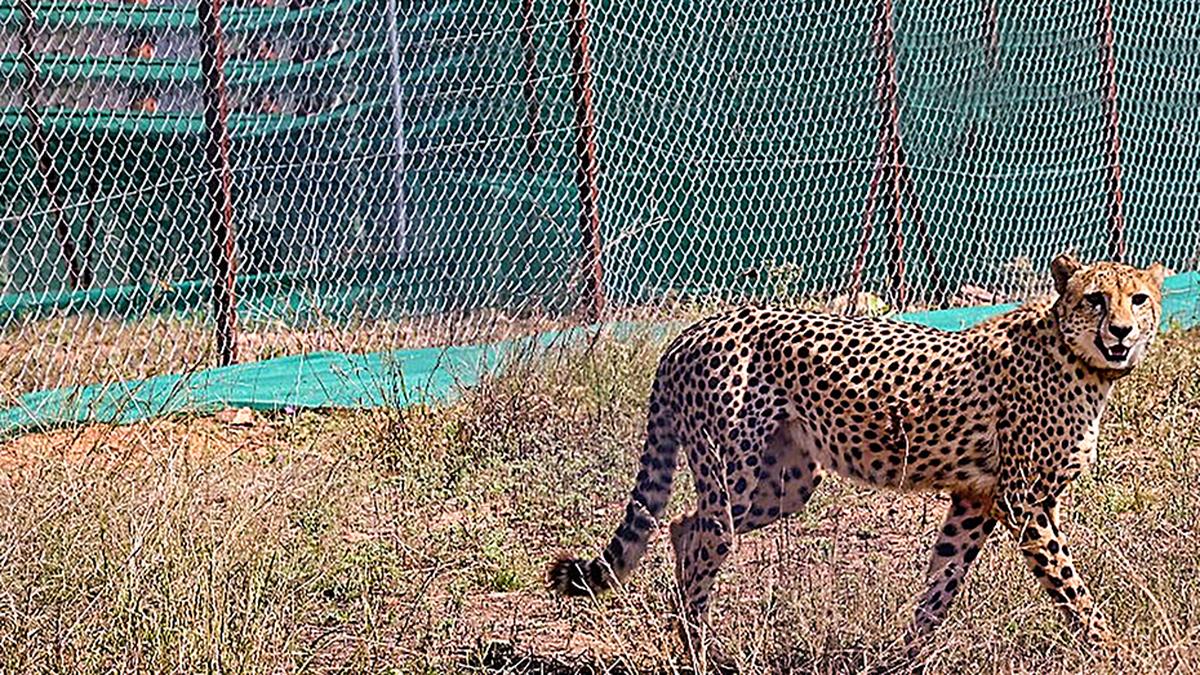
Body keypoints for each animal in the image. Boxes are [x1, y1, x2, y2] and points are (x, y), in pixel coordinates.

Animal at [548, 254, 1166, 659]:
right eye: (1095, 299)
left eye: (1138, 299)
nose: (1121, 331)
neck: (1077, 356)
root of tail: (691, 331)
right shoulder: (1024, 503)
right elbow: (1071, 587)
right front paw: (1113, 650)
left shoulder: (976, 500)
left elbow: (941, 584)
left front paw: (907, 656)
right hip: (735, 474)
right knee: (703, 536)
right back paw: (698, 652)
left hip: (785, 484)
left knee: (682, 526)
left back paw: (691, 639)